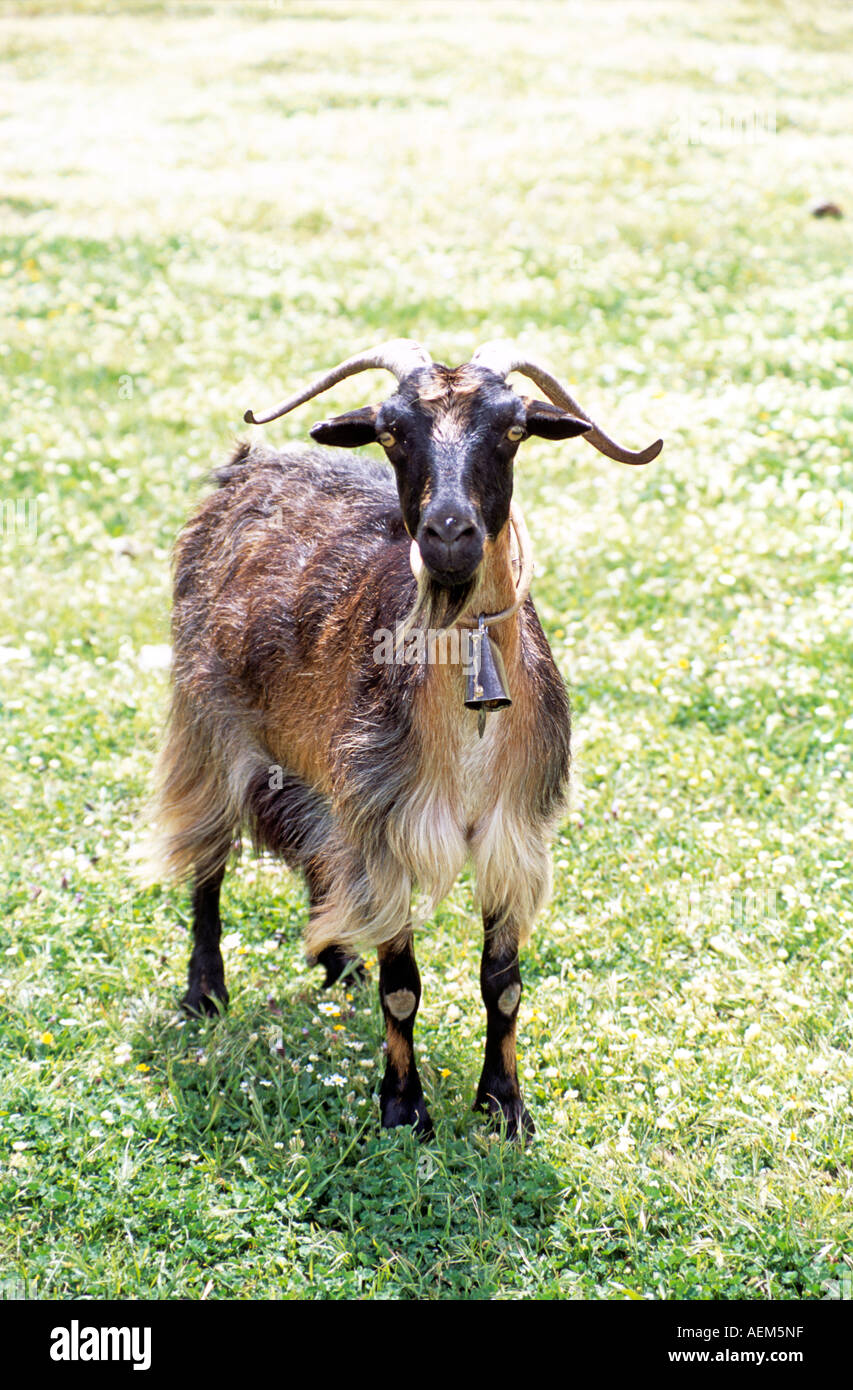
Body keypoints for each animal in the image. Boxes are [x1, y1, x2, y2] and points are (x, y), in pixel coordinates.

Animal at [145, 339, 662, 1140]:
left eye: (514, 428)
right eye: (391, 432)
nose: (449, 534)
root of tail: (246, 465)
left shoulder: (510, 834)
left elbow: (502, 985)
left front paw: (504, 1106)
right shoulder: (390, 828)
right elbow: (403, 987)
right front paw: (403, 1107)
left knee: (319, 853)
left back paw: (337, 963)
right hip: (210, 728)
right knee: (207, 861)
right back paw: (206, 993)